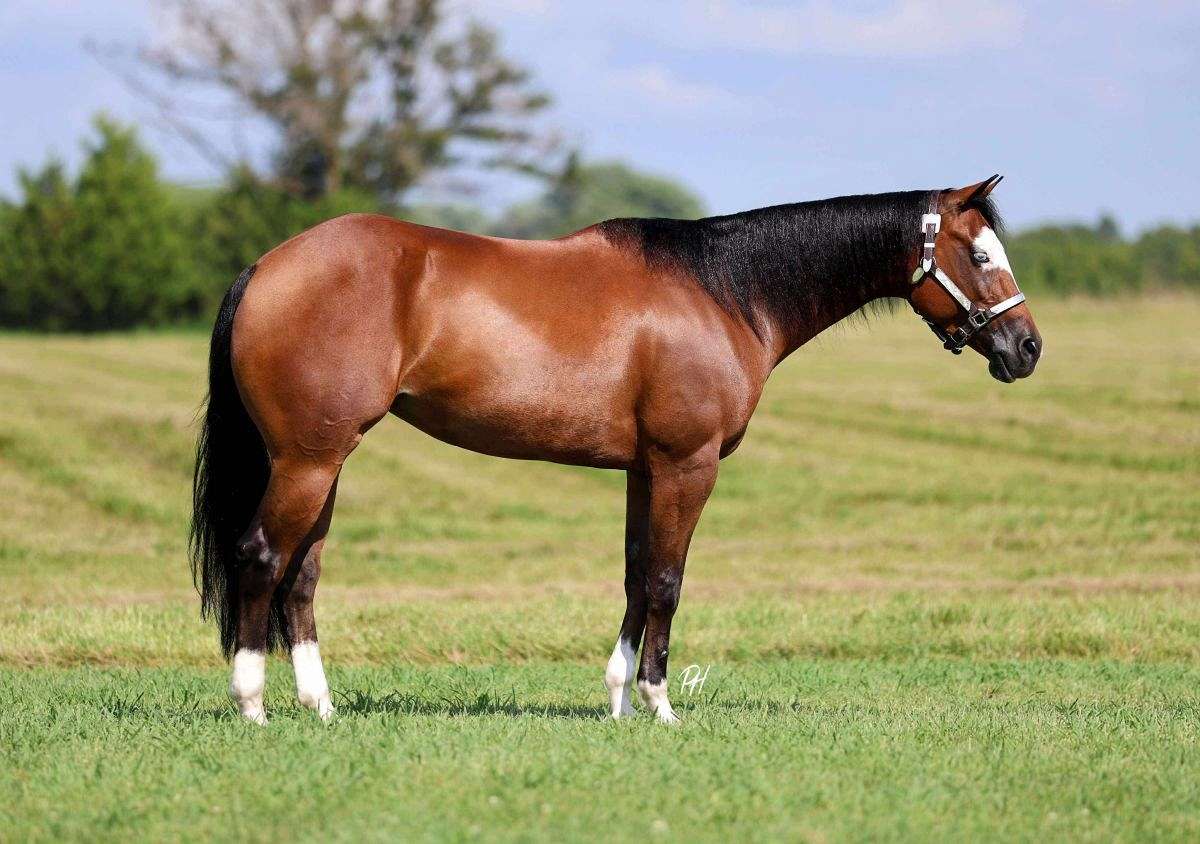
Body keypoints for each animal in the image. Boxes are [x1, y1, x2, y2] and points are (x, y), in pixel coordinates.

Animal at [190, 175, 1041, 724]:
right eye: (981, 255)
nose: (1026, 348)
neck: (725, 290)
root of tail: (266, 267)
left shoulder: (643, 470)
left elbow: (635, 577)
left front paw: (620, 700)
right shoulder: (686, 464)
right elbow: (666, 580)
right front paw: (662, 707)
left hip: (323, 461)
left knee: (302, 578)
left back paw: (322, 709)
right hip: (306, 461)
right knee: (262, 557)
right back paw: (253, 707)